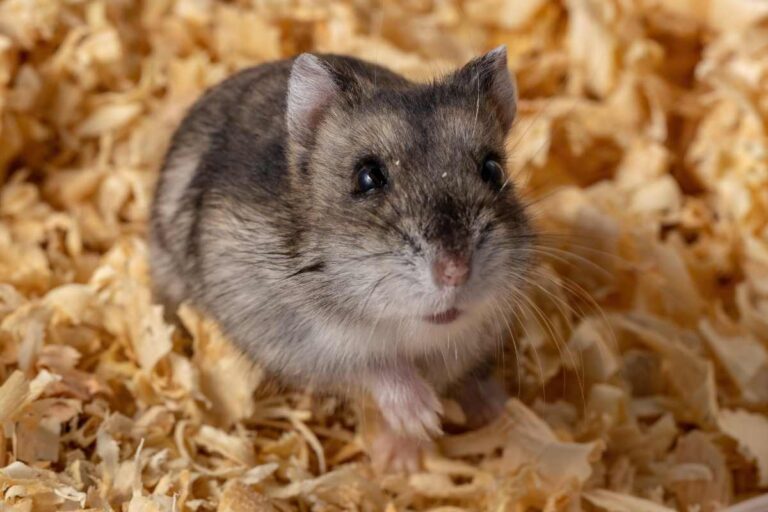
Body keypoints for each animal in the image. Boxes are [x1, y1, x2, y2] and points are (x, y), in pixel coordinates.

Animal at [149, 46, 535, 471]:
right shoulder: (301, 341)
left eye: (492, 169)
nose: (455, 271)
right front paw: (418, 431)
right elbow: (374, 366)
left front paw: (499, 410)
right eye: (367, 177)